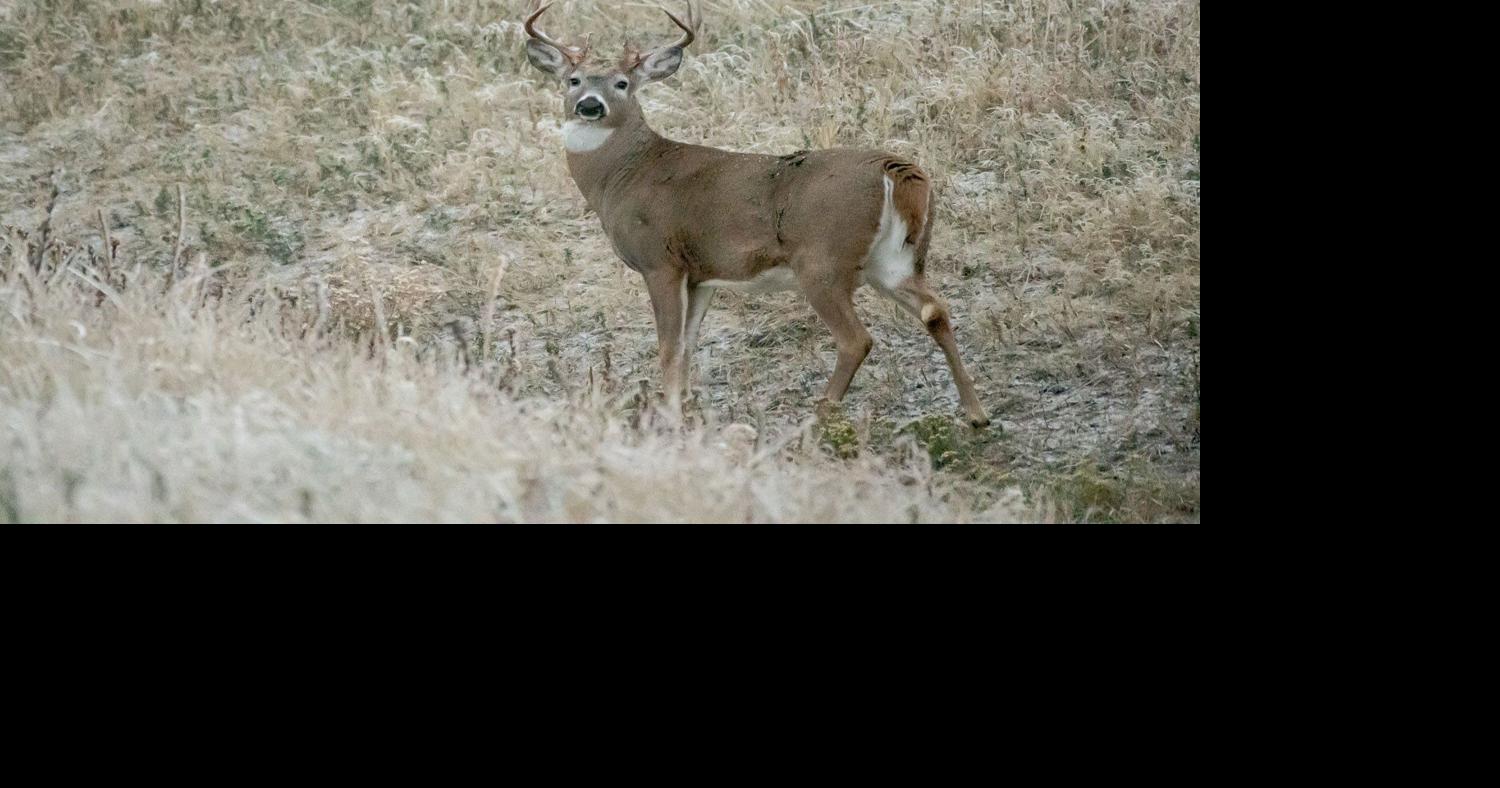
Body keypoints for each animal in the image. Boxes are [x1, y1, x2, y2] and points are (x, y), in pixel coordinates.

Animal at [522, 0, 991, 428]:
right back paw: (976, 413)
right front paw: (685, 407)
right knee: (936, 310)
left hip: (822, 259)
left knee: (856, 339)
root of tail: (897, 171)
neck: (625, 175)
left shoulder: (660, 260)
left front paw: (670, 416)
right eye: (573, 79)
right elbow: (688, 345)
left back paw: (818, 416)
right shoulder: (702, 274)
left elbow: (669, 347)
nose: (589, 105)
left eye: (622, 83)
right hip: (893, 260)